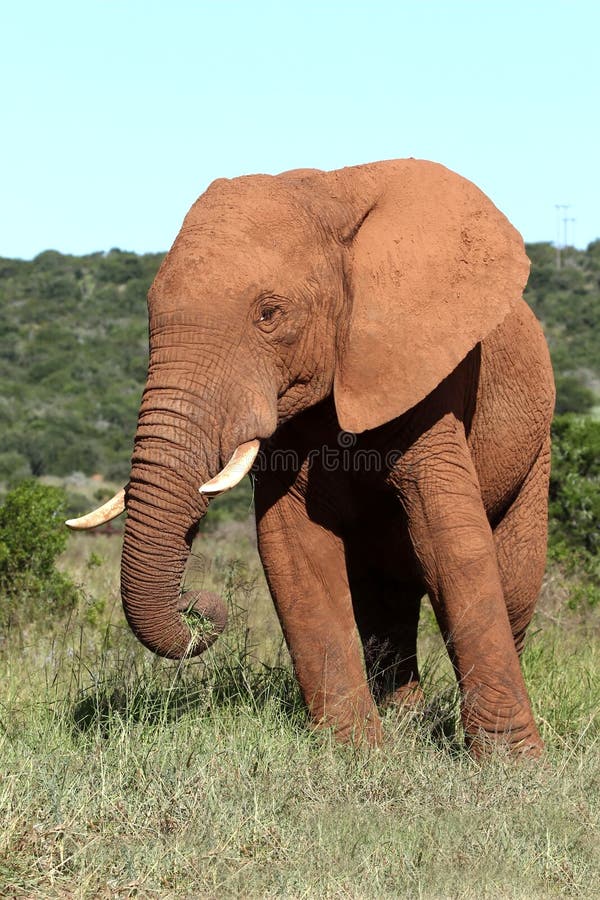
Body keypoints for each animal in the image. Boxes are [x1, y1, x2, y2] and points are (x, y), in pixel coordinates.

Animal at [69, 158, 552, 756]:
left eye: (269, 314)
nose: (198, 608)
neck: (327, 195)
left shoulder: (428, 369)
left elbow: (448, 539)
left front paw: (514, 765)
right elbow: (292, 547)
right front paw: (355, 755)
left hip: (537, 448)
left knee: (513, 584)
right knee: (385, 599)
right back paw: (405, 722)